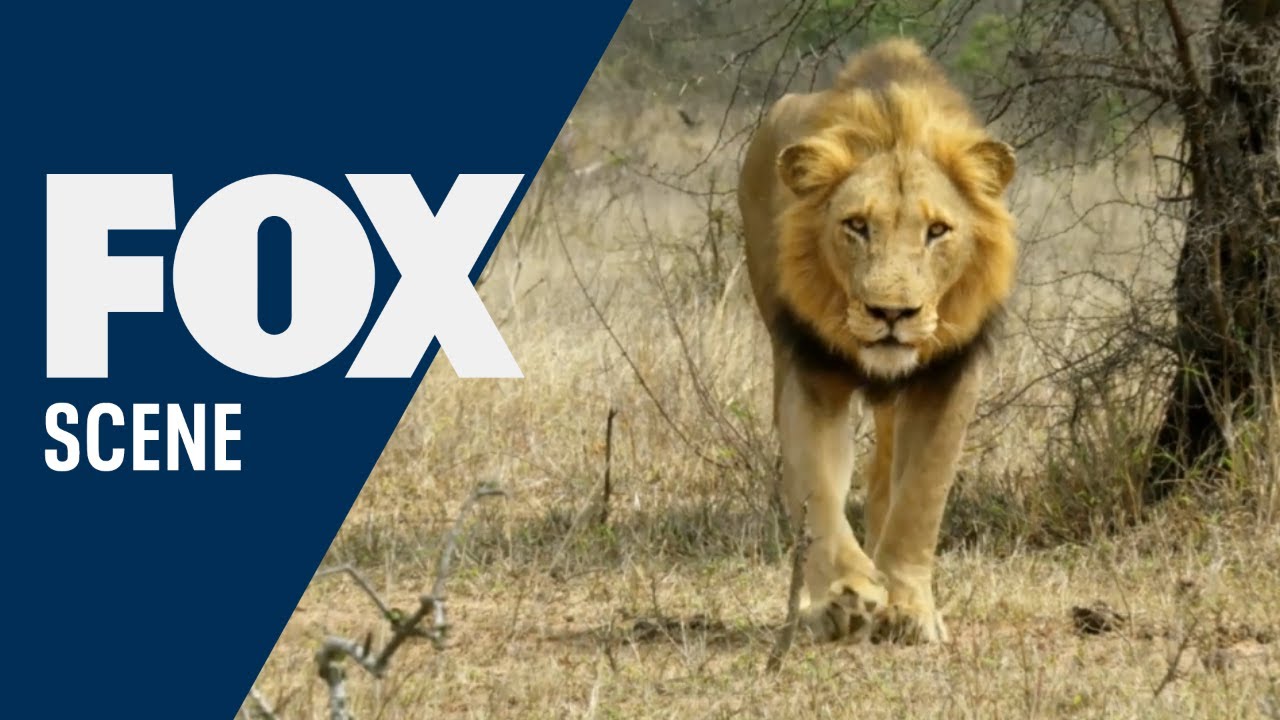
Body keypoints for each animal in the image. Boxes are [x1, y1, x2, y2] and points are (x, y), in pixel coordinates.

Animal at [737, 38, 1016, 644]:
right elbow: (817, 490)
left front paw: (909, 608)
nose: (891, 313)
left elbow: (921, 497)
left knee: (887, 477)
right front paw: (846, 595)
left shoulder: (950, 375)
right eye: (856, 226)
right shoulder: (809, 374)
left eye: (937, 231)